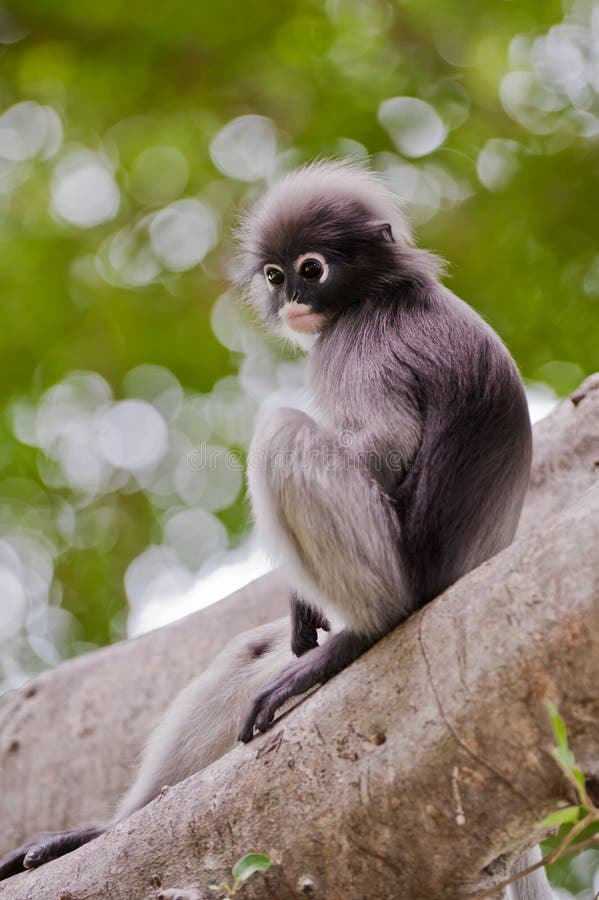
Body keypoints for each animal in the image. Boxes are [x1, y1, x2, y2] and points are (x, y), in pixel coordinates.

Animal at [0, 161, 549, 898]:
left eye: (311, 268)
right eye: (273, 273)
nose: (289, 295)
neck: (385, 291)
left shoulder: (358, 343)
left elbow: (382, 443)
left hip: (392, 565)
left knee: (283, 434)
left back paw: (364, 630)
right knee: (252, 650)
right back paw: (100, 833)